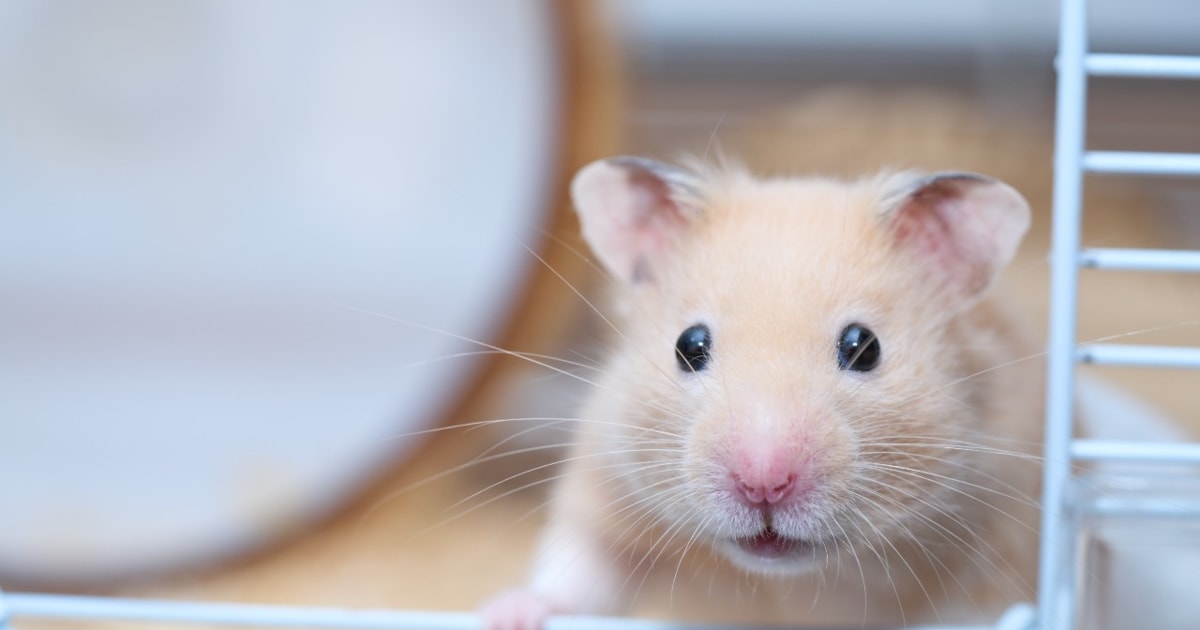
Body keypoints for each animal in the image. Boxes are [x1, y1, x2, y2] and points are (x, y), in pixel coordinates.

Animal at [482, 156, 1045, 628]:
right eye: (689, 345)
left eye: (864, 347)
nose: (764, 484)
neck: (792, 580)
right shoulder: (606, 487)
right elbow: (580, 570)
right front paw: (509, 614)